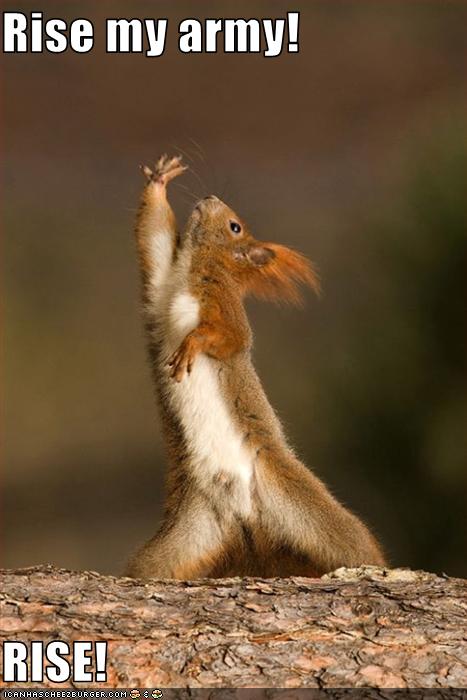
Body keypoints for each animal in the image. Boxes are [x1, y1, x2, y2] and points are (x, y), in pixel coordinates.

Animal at [125, 154, 386, 579]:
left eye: (235, 226)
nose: (211, 198)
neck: (193, 270)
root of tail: (244, 515)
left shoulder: (225, 309)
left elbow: (228, 337)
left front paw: (191, 345)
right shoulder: (160, 285)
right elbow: (153, 241)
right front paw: (160, 181)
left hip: (315, 514)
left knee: (355, 548)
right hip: (179, 541)